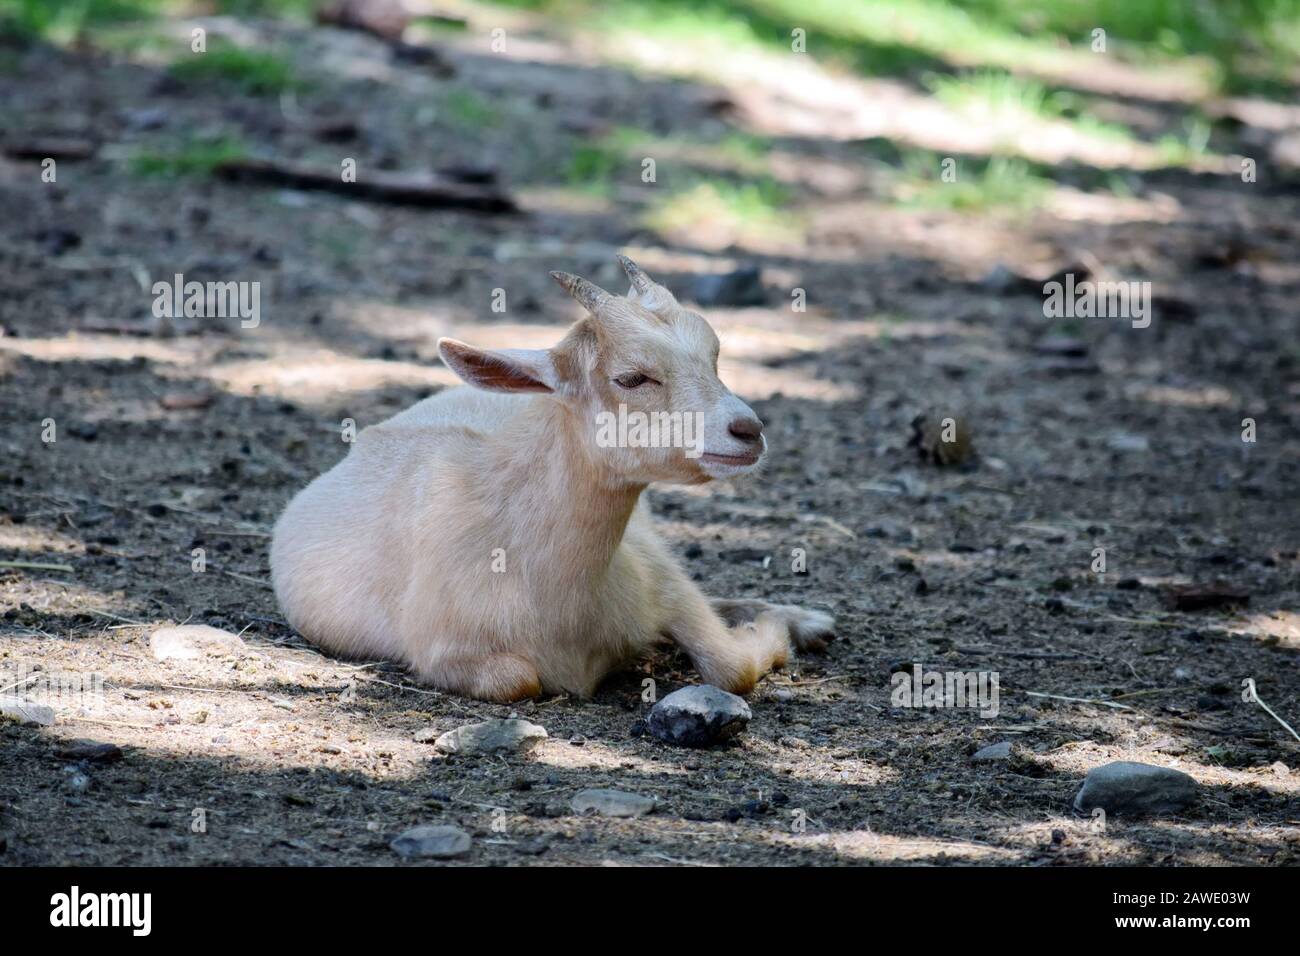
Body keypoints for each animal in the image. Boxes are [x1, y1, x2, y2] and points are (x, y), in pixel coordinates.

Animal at [270, 255, 834, 702]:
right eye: (632, 377)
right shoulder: (441, 651)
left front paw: (776, 626)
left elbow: (731, 667)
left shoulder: (656, 576)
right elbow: (516, 681)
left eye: (714, 355)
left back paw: (809, 620)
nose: (748, 430)